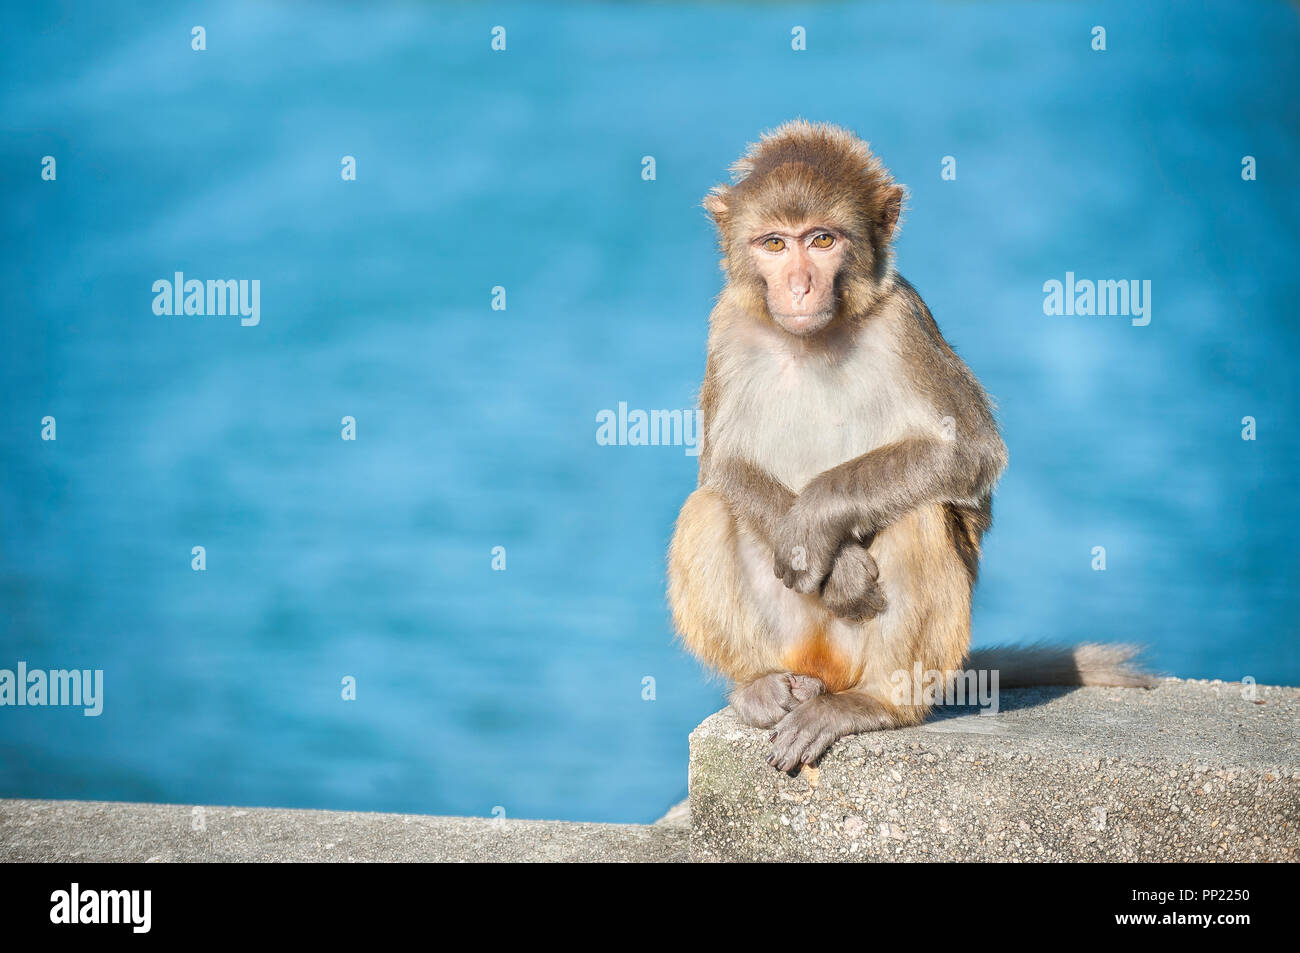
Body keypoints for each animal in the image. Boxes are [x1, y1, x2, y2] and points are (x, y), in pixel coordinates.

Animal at [668, 120, 1151, 773]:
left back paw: (873, 703)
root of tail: (823, 673)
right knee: (710, 508)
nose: (799, 285)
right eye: (773, 244)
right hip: (791, 639)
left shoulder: (905, 320)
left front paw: (817, 527)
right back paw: (760, 686)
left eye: (822, 240)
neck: (813, 339)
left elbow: (967, 451)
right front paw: (824, 555)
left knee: (920, 513)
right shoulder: (727, 327)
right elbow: (720, 469)